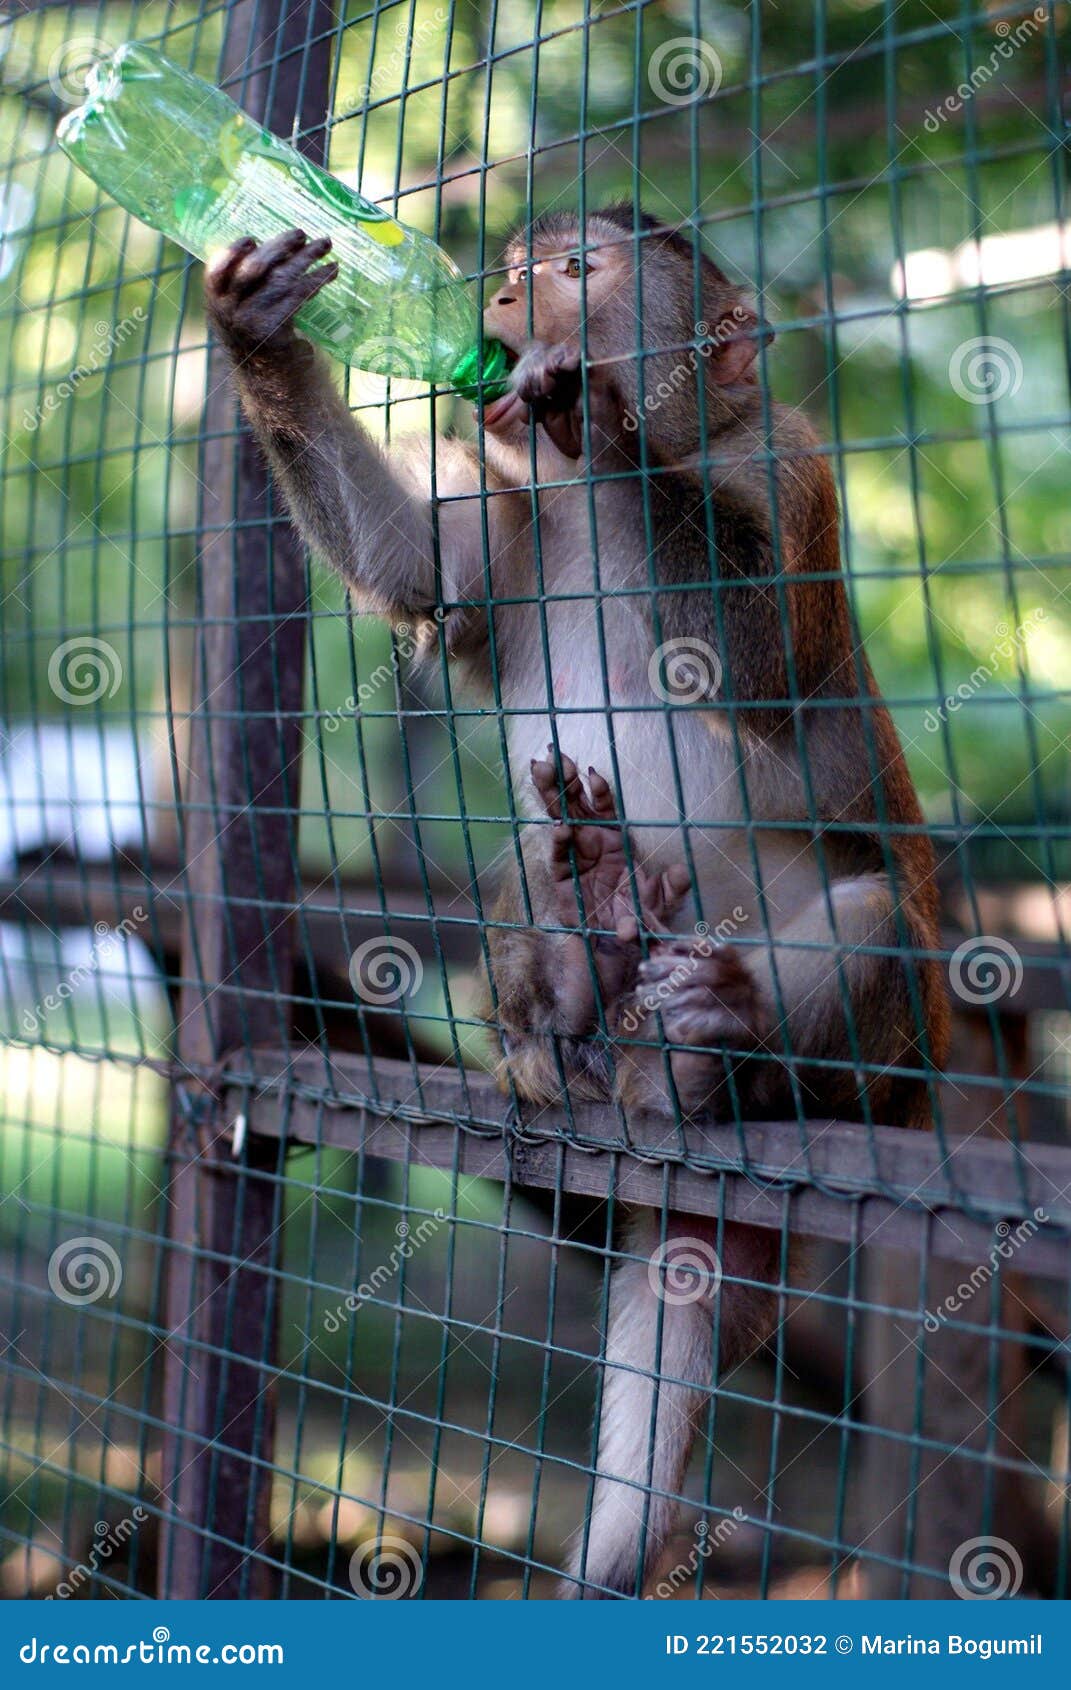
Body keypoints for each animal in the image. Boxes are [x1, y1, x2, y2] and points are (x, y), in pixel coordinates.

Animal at [203, 207, 950, 1599]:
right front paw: (261, 328)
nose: (501, 299)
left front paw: (591, 415)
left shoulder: (792, 465)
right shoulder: (510, 522)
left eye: (573, 270)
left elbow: (757, 652)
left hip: (893, 1072)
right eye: (515, 268)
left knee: (874, 919)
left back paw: (721, 1046)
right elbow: (421, 570)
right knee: (528, 877)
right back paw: (578, 965)